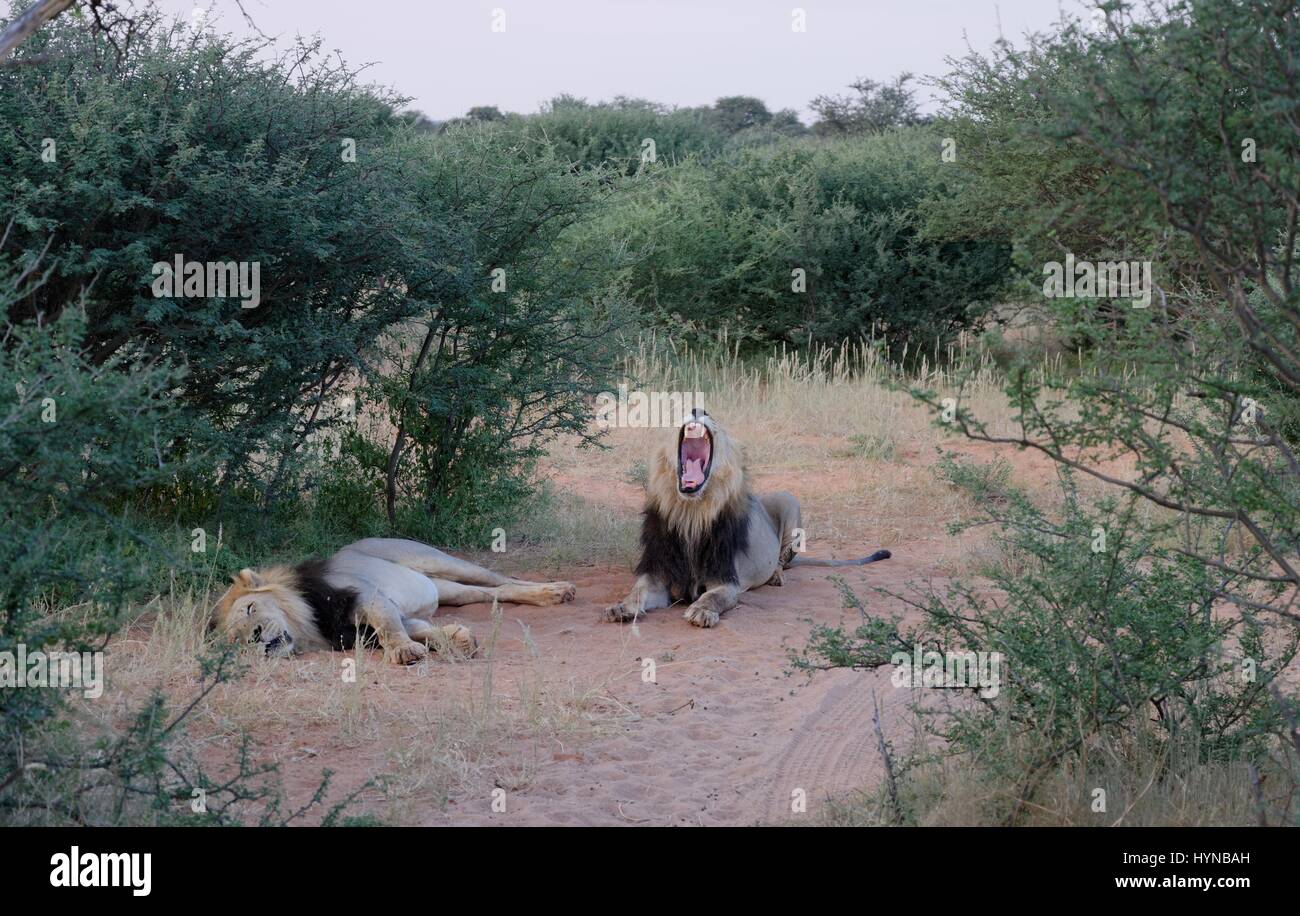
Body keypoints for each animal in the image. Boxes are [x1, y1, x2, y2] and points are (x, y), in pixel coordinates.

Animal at [211, 538, 576, 664]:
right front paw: (457, 639)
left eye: (250, 608)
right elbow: (421, 630)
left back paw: (557, 590)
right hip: (445, 589)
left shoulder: (369, 597)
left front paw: (404, 652)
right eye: (236, 640)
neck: (309, 626)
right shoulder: (377, 624)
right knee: (491, 593)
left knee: (500, 578)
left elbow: (389, 627)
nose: (257, 637)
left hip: (438, 560)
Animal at [604, 408, 890, 628]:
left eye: (712, 416)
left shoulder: (726, 581)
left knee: (783, 559)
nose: (697, 409)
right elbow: (637, 593)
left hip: (789, 500)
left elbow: (713, 598)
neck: (692, 514)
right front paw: (620, 608)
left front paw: (702, 611)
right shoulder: (656, 575)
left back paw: (775, 576)